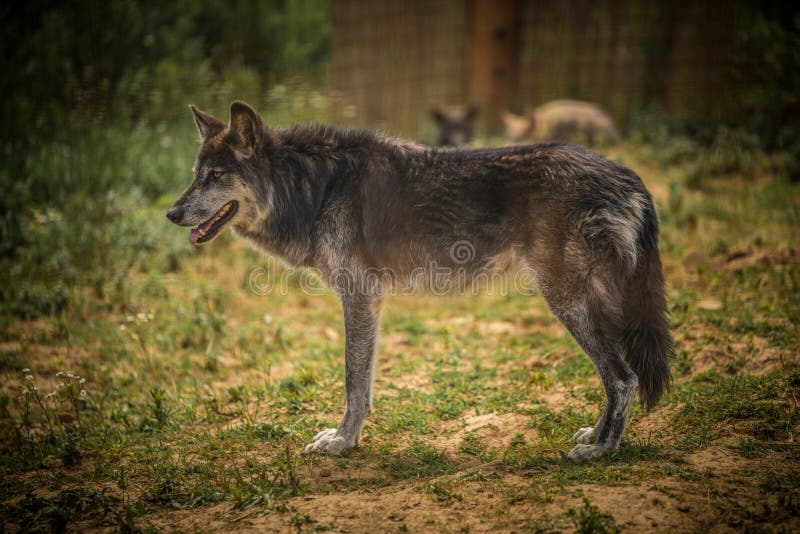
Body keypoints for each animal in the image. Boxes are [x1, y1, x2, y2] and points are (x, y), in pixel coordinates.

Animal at [167, 101, 672, 464]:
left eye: (215, 176)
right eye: (195, 176)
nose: (171, 213)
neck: (315, 188)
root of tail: (630, 176)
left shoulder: (358, 298)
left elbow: (352, 381)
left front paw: (341, 442)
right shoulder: (370, 303)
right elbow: (363, 383)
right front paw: (348, 438)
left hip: (568, 304)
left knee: (623, 377)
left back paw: (602, 449)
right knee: (617, 377)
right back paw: (596, 434)